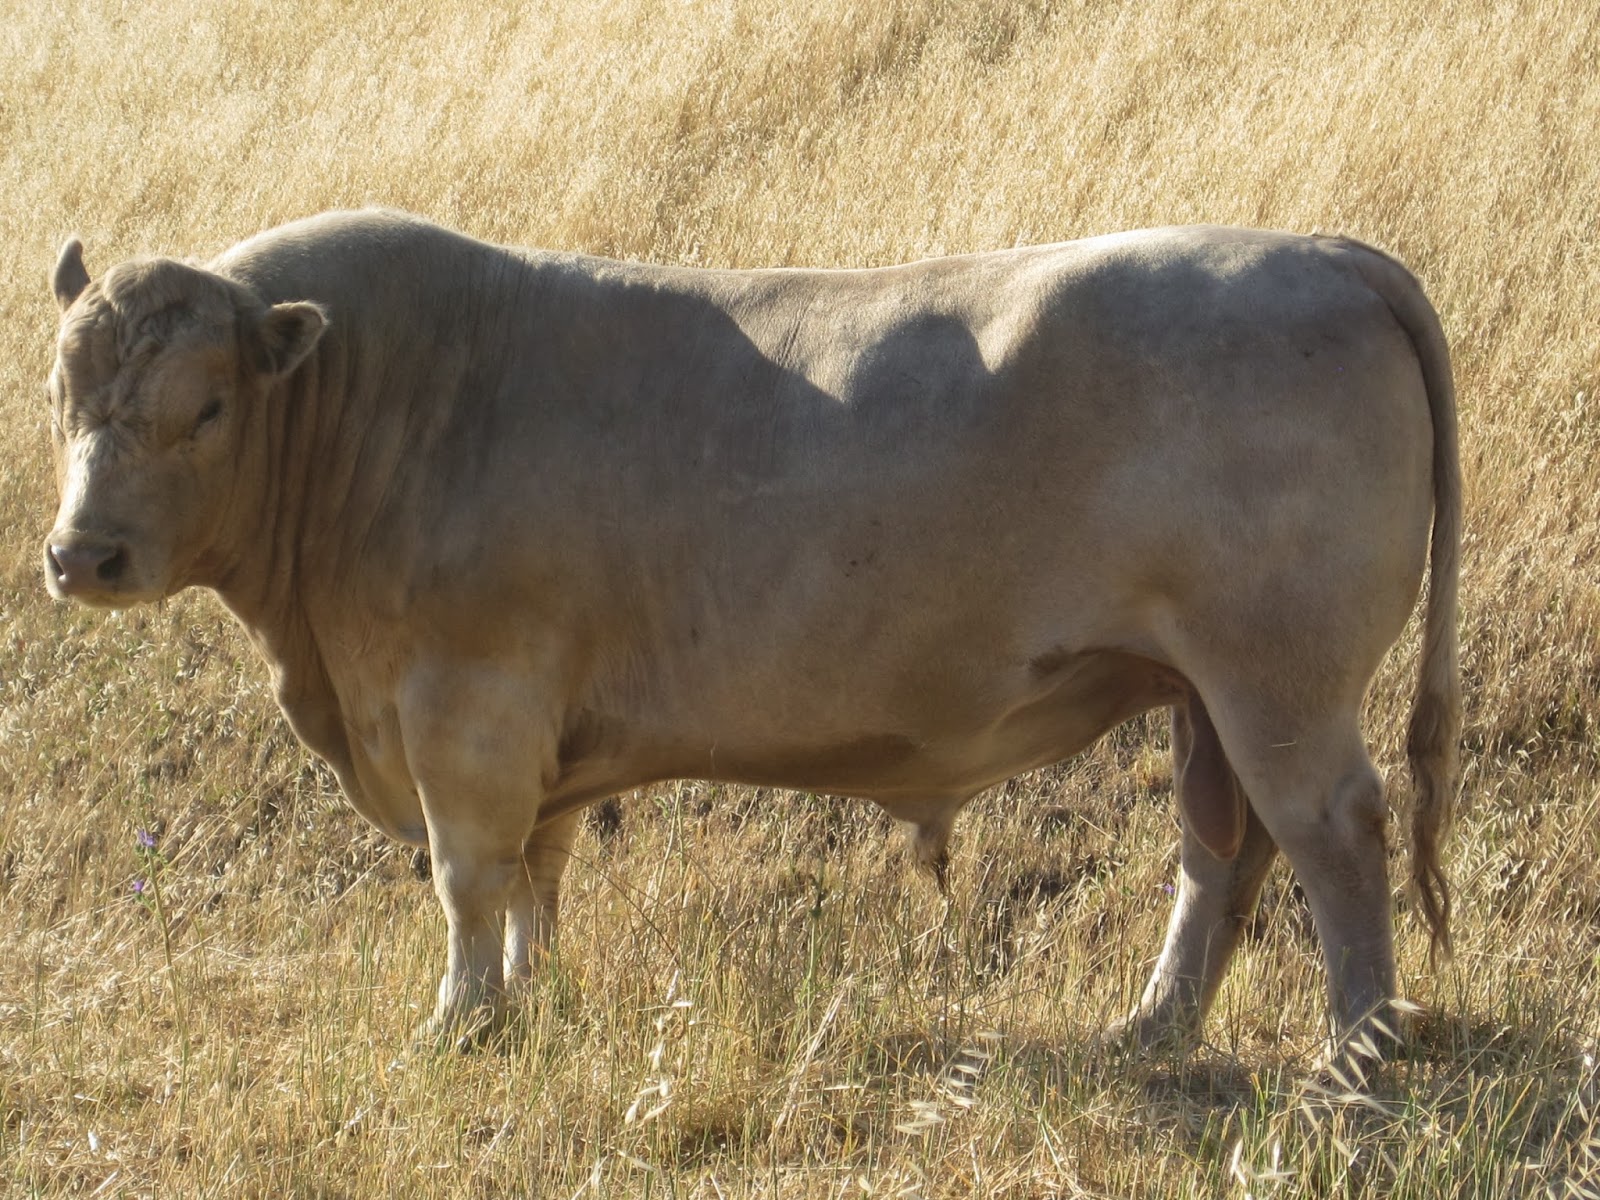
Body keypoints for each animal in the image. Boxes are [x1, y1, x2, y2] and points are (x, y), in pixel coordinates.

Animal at [41, 211, 1459, 1062]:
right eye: (60, 393)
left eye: (206, 407)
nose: (81, 556)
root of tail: (1318, 250)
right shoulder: (538, 726)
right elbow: (540, 873)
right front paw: (534, 1000)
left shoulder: (466, 707)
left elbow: (469, 875)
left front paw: (460, 1020)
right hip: (1204, 689)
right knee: (1220, 851)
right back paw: (1151, 1031)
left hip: (1278, 677)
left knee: (1331, 832)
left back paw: (1352, 1051)